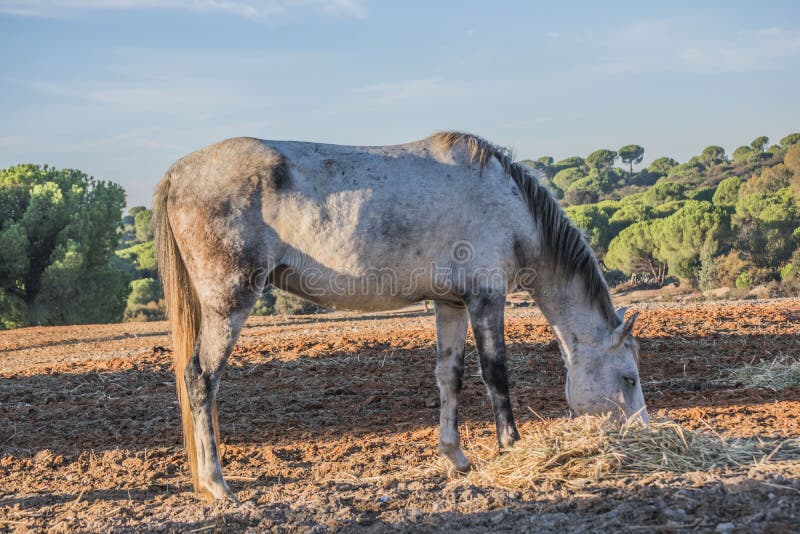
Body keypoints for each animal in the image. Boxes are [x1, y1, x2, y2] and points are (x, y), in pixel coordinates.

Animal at [153, 131, 648, 501]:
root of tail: (177, 173)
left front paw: (456, 457)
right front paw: (511, 446)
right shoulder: (486, 298)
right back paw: (217, 485)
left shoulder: (451, 304)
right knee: (201, 379)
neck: (508, 202)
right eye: (628, 378)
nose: (643, 432)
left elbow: (451, 376)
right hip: (228, 303)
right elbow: (496, 374)